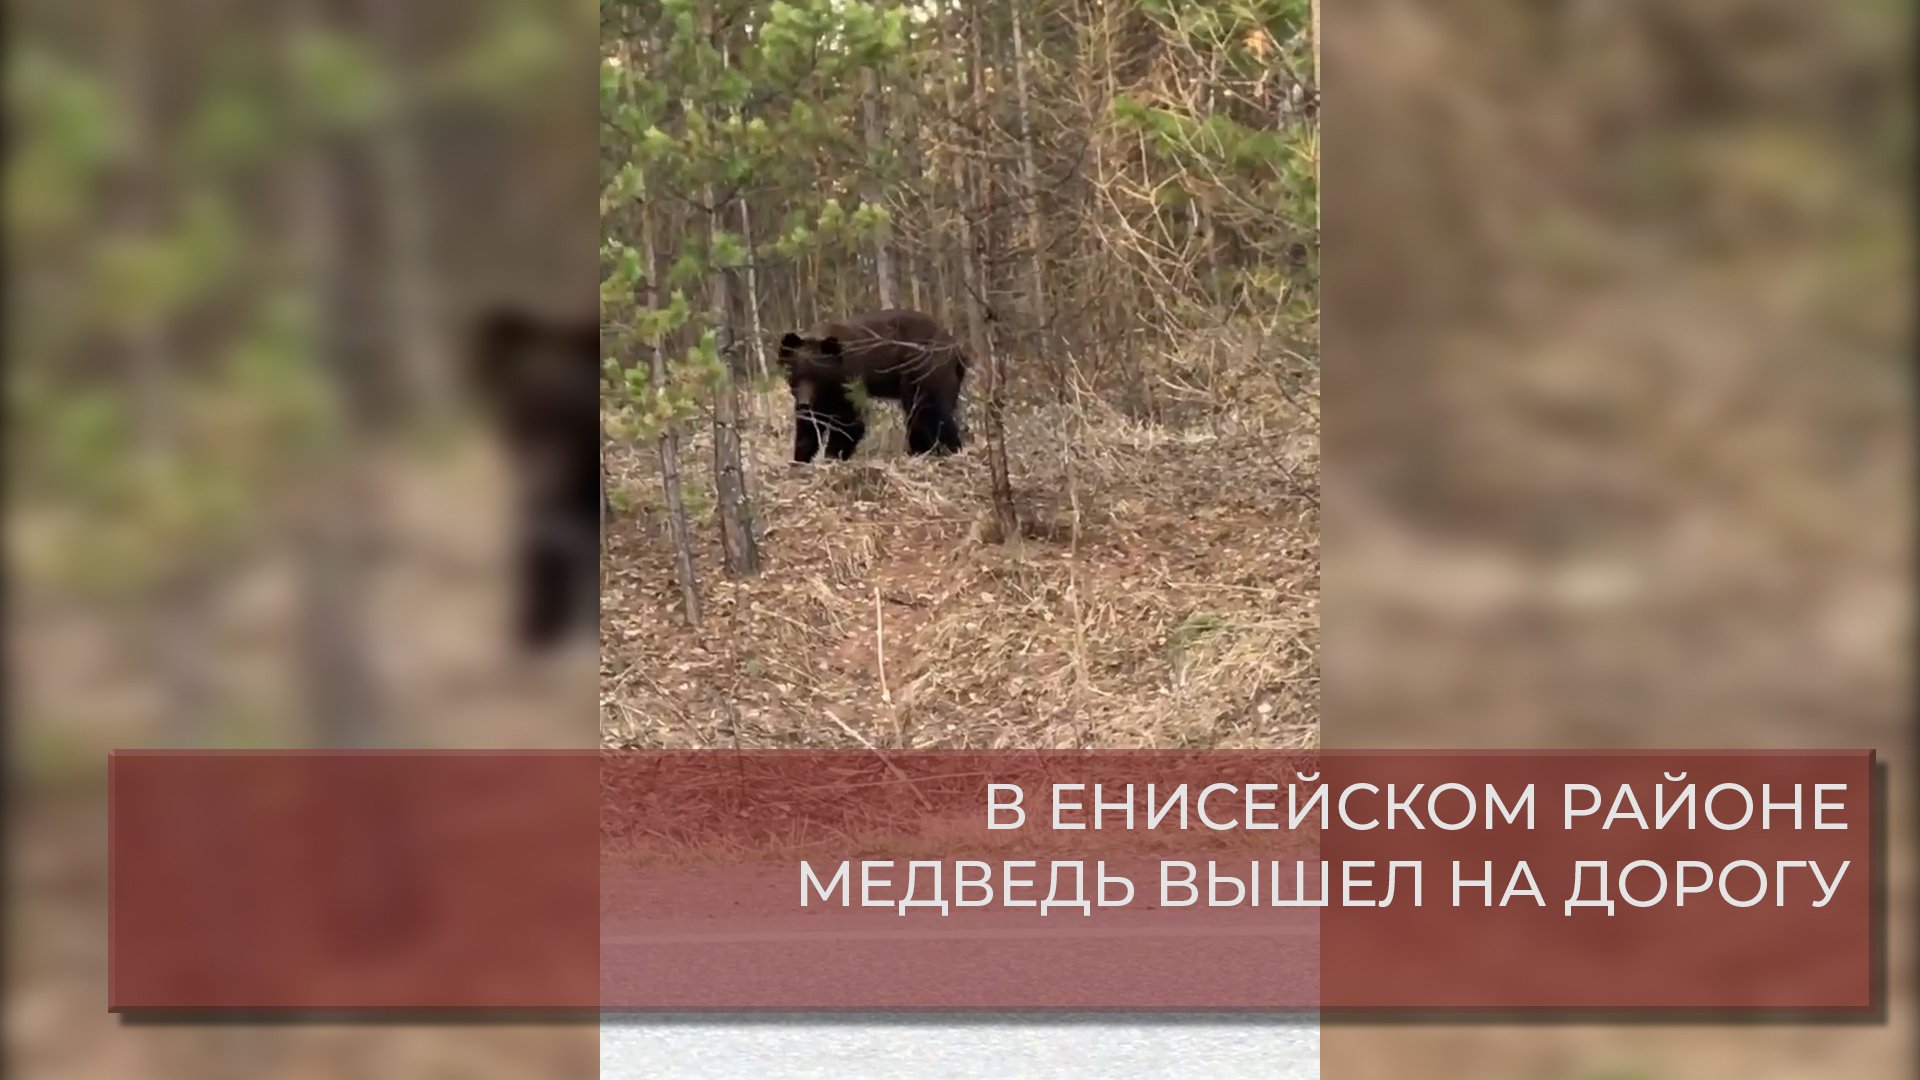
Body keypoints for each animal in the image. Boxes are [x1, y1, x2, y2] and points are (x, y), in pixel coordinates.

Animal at [777, 308, 968, 463]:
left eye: (818, 375)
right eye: (794, 375)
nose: (804, 403)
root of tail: (956, 348)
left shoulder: (850, 383)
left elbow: (850, 424)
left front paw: (831, 457)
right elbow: (808, 428)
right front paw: (800, 459)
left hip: (924, 370)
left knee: (930, 410)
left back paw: (948, 449)